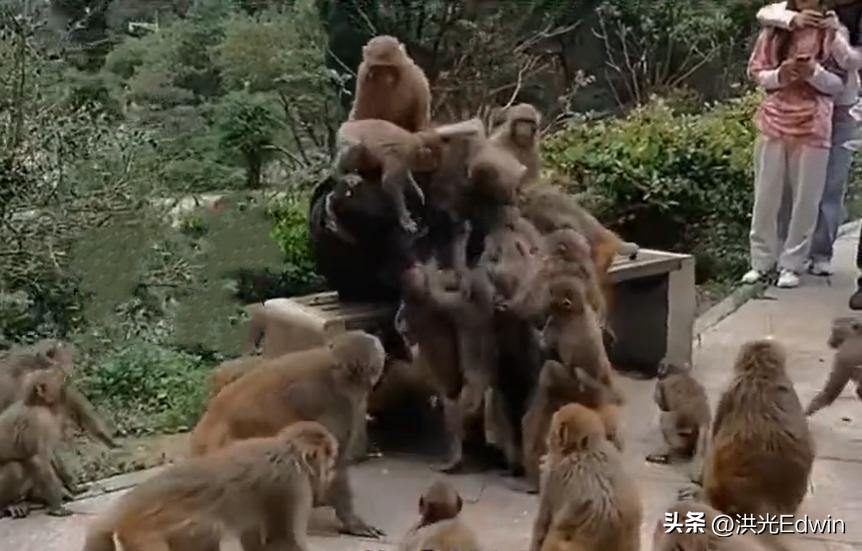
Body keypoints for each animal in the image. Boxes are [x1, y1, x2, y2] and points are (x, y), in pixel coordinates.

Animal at [0, 368, 74, 518]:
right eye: (51, 373)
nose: (60, 369)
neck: (39, 403)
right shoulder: (39, 421)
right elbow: (39, 459)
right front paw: (57, 506)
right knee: (15, 468)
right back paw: (7, 505)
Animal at [82, 421, 339, 551]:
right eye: (329, 457)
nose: (330, 472)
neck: (289, 452)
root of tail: (126, 506)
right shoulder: (292, 485)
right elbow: (283, 541)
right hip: (144, 534)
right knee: (209, 528)